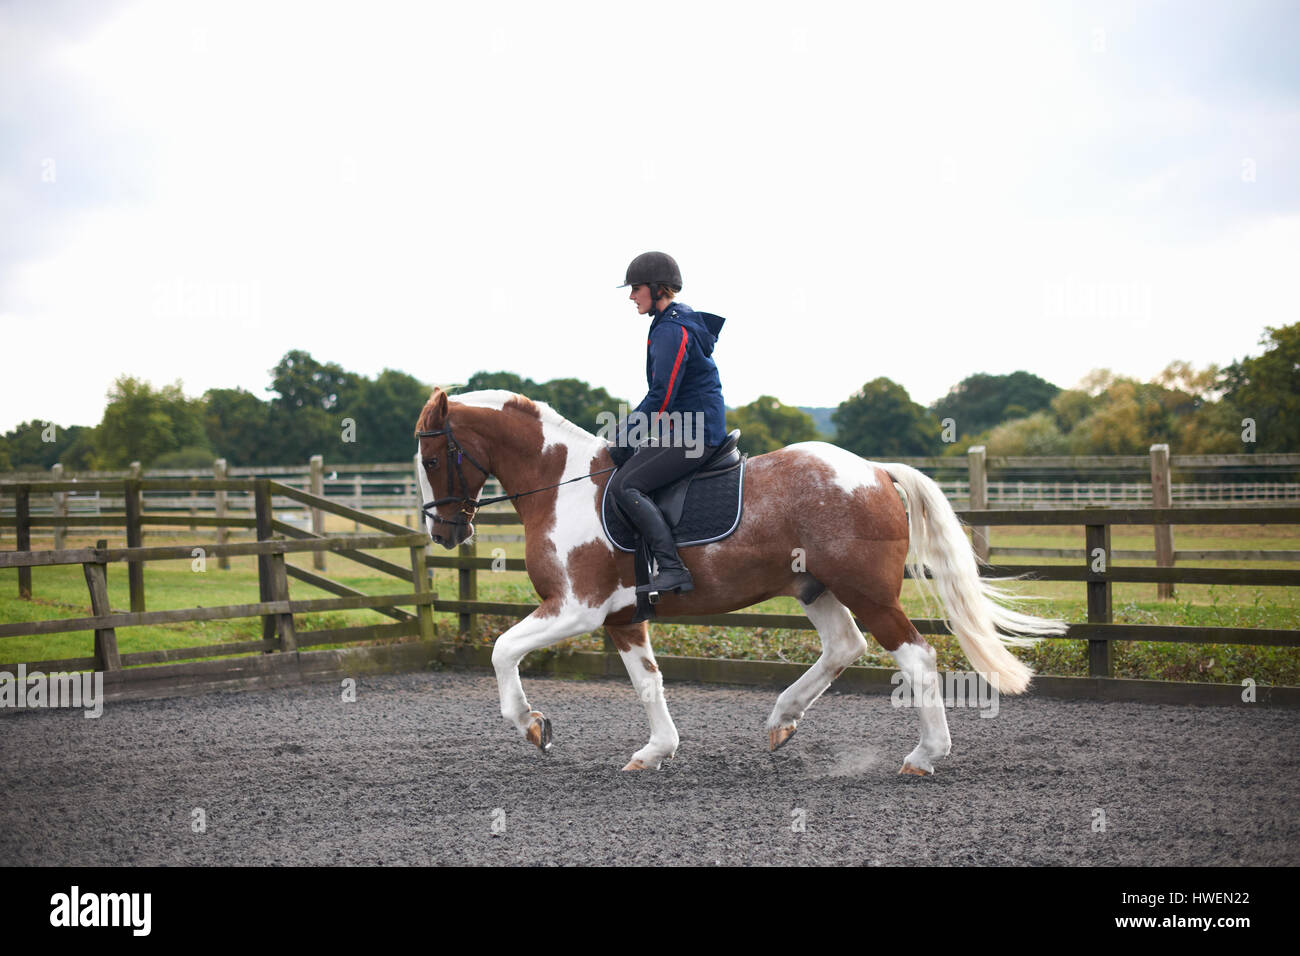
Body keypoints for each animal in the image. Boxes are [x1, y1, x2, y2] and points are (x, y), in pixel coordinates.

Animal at [414, 386, 1066, 775]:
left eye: (432, 459)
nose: (444, 532)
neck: (560, 484)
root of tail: (875, 471)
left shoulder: (577, 606)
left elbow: (502, 650)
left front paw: (533, 725)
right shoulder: (622, 617)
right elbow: (647, 682)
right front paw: (655, 751)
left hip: (868, 592)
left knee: (917, 657)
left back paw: (925, 754)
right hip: (815, 589)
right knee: (844, 646)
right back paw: (782, 721)